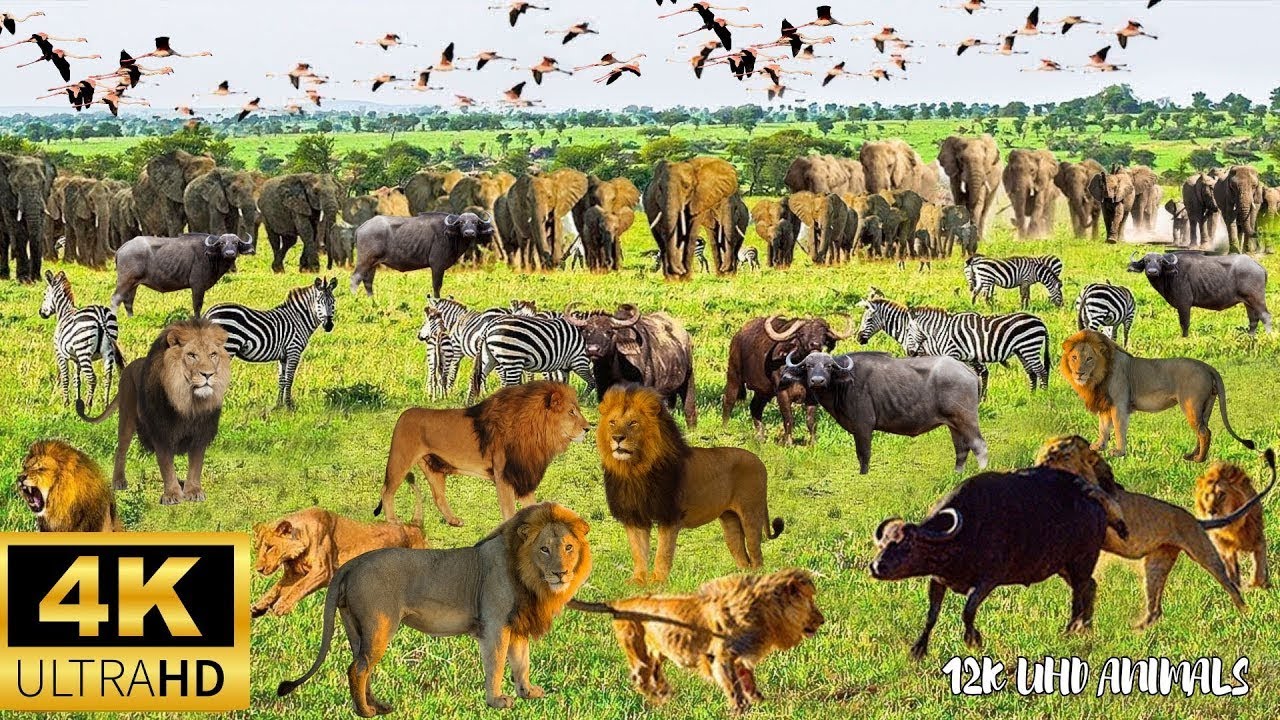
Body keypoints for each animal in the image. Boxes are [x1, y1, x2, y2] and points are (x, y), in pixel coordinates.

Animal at [0, 153, 56, 282]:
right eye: (15, 185)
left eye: (43, 183)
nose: (36, 278)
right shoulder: (7, 197)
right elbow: (19, 232)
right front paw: (24, 280)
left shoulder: (43, 197)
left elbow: (39, 228)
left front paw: (34, 279)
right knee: (3, 240)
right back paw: (4, 277)